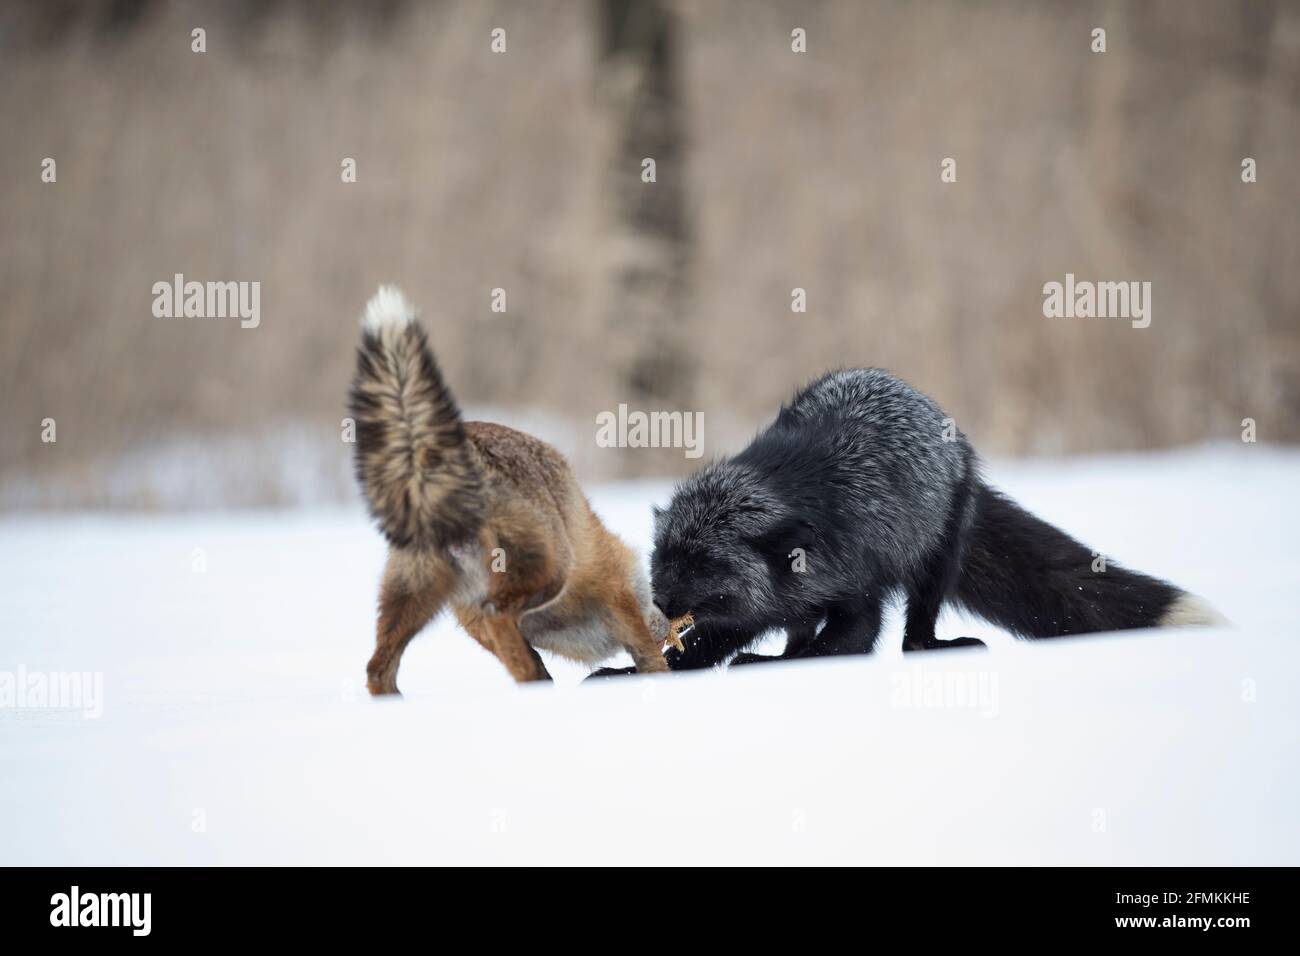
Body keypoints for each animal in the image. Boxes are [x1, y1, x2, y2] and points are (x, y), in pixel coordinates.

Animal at [347, 286, 671, 693]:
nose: (671, 620)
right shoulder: (617, 595)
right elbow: (650, 658)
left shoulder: (478, 626)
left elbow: (526, 659)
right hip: (547, 569)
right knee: (497, 614)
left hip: (413, 596)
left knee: (378, 667)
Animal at [591, 368, 1226, 676]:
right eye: (664, 558)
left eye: (703, 563)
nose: (661, 602)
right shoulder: (748, 612)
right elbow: (701, 652)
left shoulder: (859, 593)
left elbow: (851, 641)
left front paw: (799, 666)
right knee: (798, 631)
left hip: (935, 564)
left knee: (913, 629)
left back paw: (928, 646)